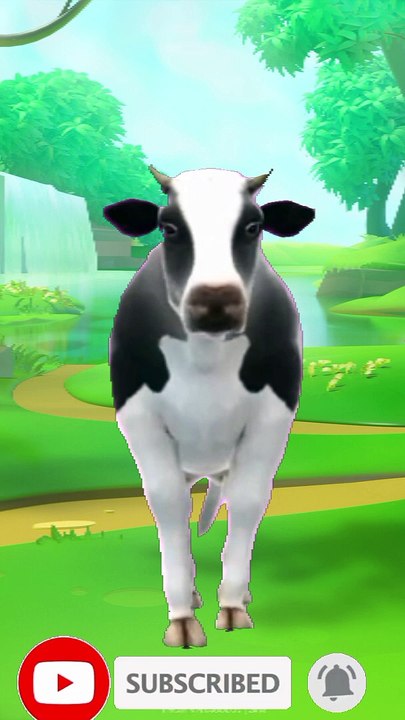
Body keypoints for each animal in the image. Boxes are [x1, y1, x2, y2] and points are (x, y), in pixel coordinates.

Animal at [104, 165, 315, 648]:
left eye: (253, 227)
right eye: (169, 228)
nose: (215, 302)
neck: (206, 360)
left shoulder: (272, 415)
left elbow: (250, 500)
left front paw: (233, 604)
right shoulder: (139, 416)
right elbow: (167, 503)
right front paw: (182, 614)